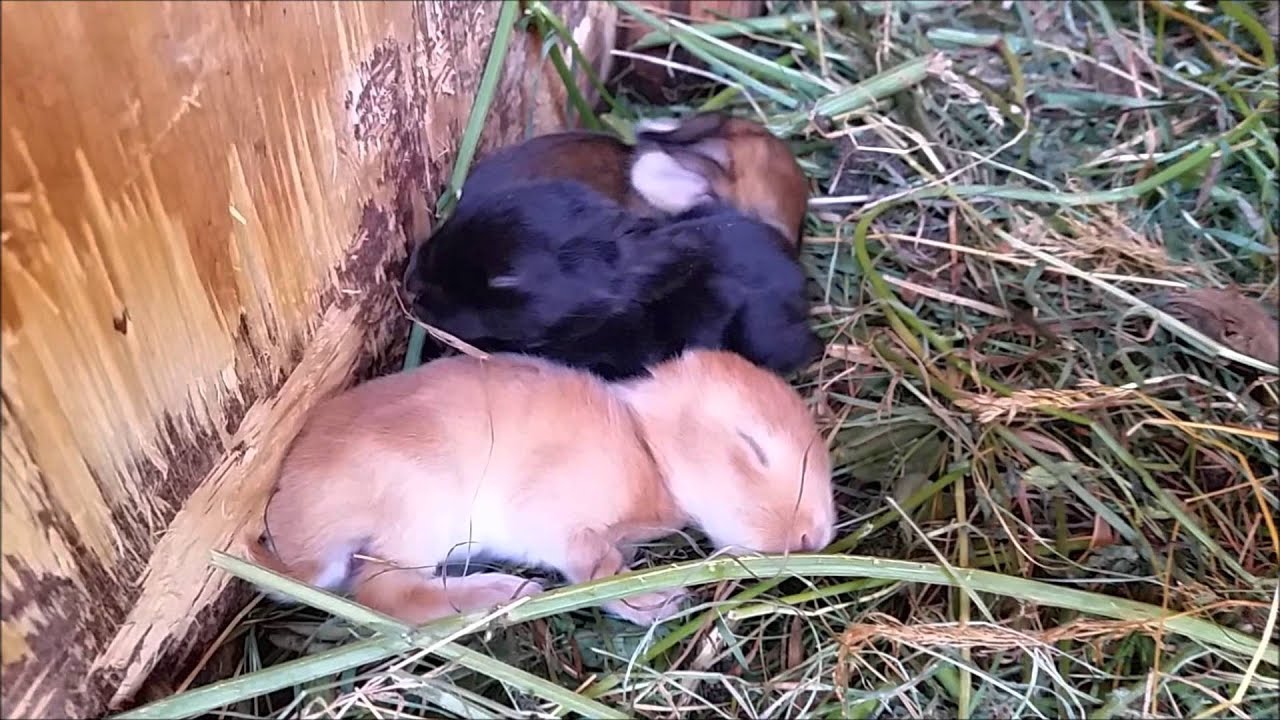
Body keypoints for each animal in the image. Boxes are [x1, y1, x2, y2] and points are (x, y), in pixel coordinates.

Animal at [245, 349, 835, 627]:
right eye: (752, 446)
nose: (815, 538)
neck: (649, 447)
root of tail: (297, 545)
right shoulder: (559, 520)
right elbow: (592, 568)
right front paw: (654, 601)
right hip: (420, 510)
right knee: (386, 594)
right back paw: (506, 594)